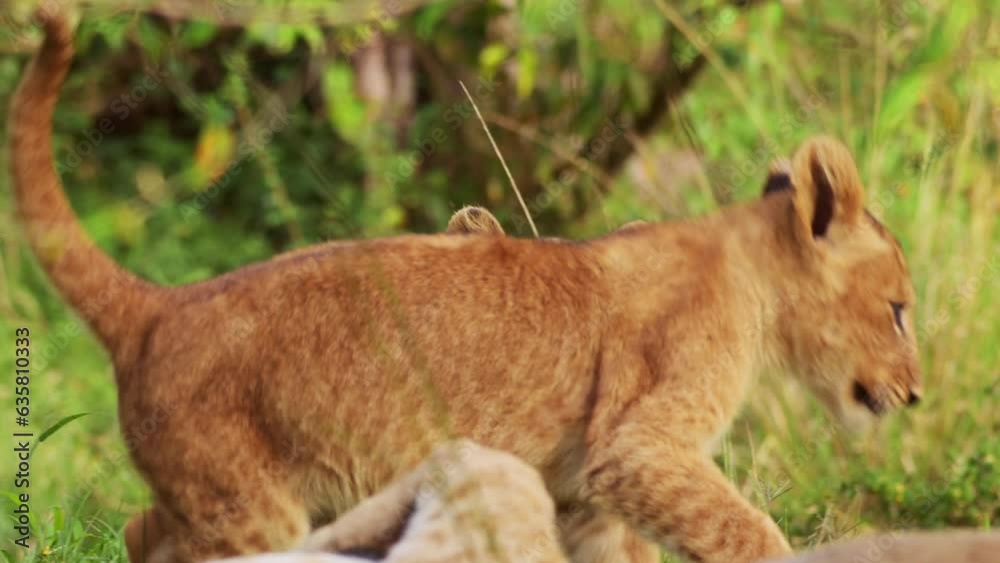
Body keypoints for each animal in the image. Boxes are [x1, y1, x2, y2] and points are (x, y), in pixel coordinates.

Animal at [12, 10, 921, 563]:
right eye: (900, 311)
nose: (914, 395)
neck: (746, 267)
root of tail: (160, 307)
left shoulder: (584, 484)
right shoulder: (638, 442)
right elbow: (745, 528)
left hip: (224, 497)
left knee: (142, 527)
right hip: (251, 507)